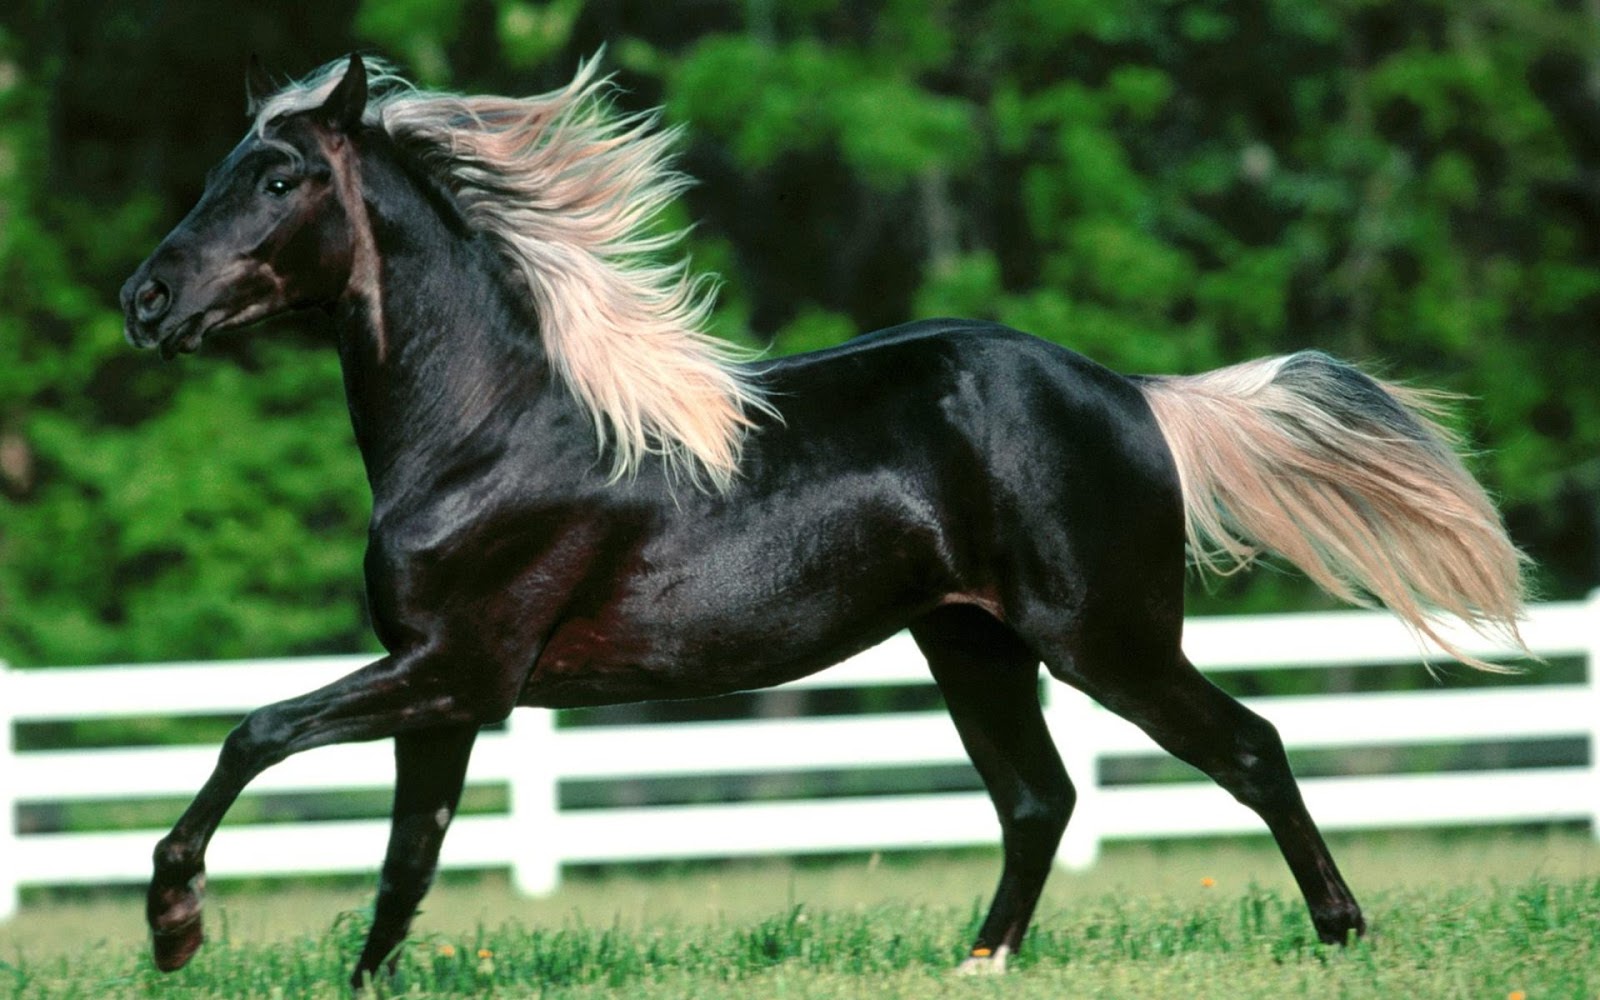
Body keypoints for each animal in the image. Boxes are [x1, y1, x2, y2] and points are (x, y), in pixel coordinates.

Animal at [120, 54, 1527, 986]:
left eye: (279, 176)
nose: (145, 301)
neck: (488, 428)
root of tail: (1133, 395)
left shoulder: (456, 667)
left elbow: (254, 733)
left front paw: (175, 927)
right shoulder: (445, 685)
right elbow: (407, 859)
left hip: (1104, 640)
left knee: (1246, 747)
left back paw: (1342, 934)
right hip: (972, 643)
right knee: (1040, 798)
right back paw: (977, 962)